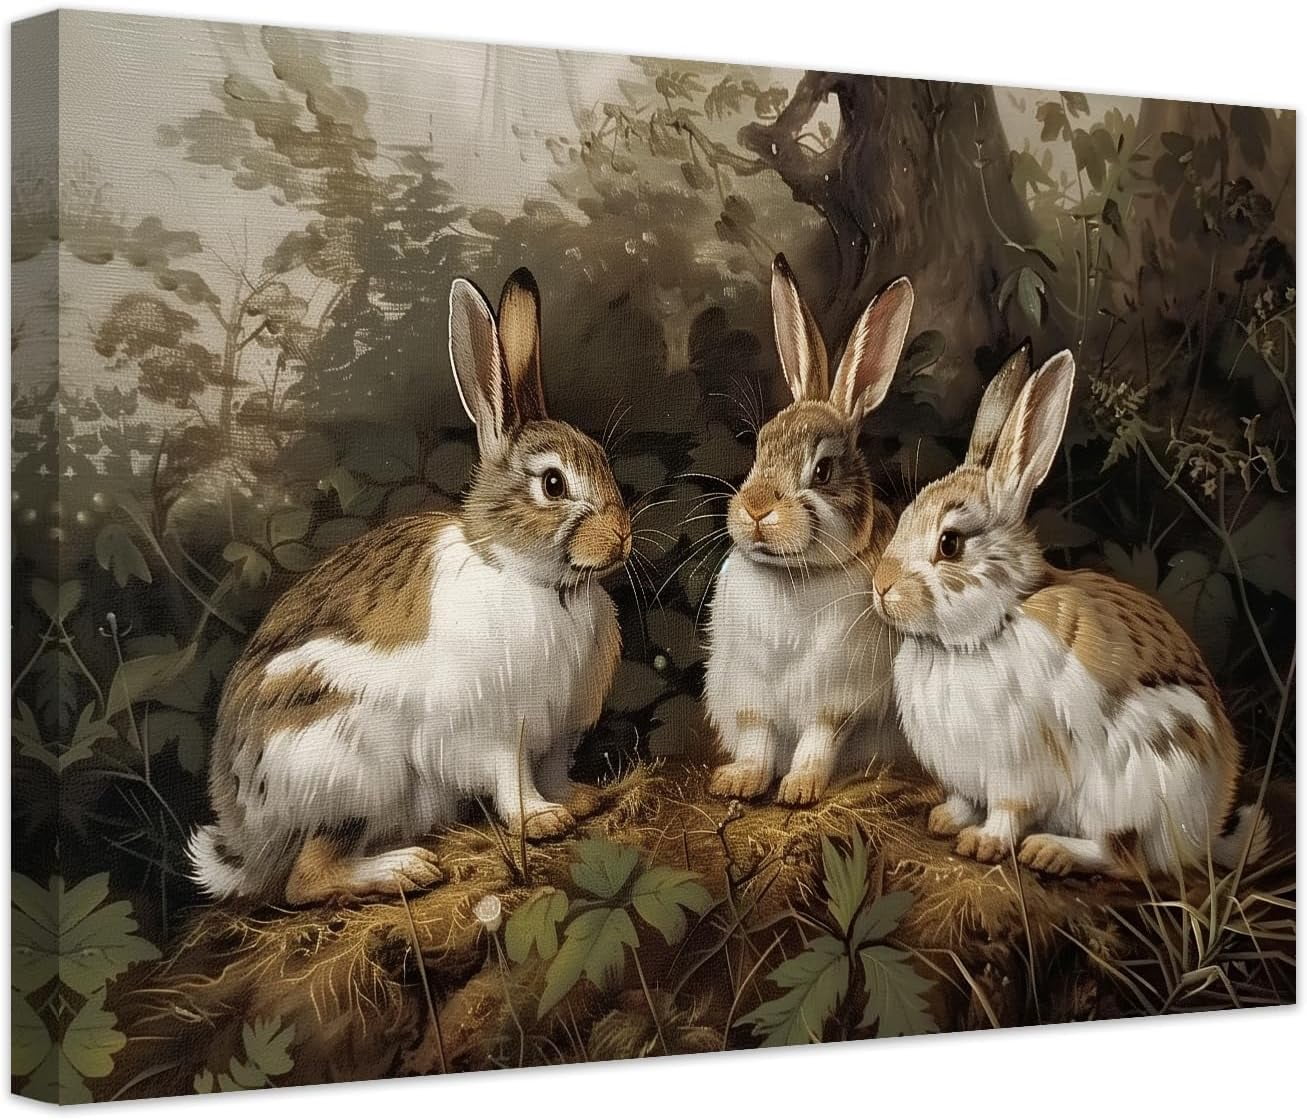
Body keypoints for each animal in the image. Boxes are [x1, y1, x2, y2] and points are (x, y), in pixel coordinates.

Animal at [188, 268, 632, 904]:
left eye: (600, 457)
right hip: (351, 768)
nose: (622, 539)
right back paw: (405, 869)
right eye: (553, 484)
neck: (531, 577)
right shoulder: (496, 732)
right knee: (304, 880)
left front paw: (580, 800)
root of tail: (248, 840)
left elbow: (552, 770)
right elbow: (513, 779)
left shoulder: (558, 729)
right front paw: (543, 820)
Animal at [704, 254, 914, 807]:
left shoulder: (840, 697)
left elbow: (820, 738)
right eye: (759, 449)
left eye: (822, 471)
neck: (793, 576)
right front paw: (740, 780)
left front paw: (800, 788)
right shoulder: (749, 691)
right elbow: (757, 737)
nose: (757, 508)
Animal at [871, 347, 1268, 877]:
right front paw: (945, 819)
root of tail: (1202, 833)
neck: (984, 630)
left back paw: (1050, 850)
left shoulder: (1016, 768)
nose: (880, 587)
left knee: (1123, 858)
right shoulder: (965, 773)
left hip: (1129, 784)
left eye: (950, 544)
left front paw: (983, 843)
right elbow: (964, 799)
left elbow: (1007, 810)